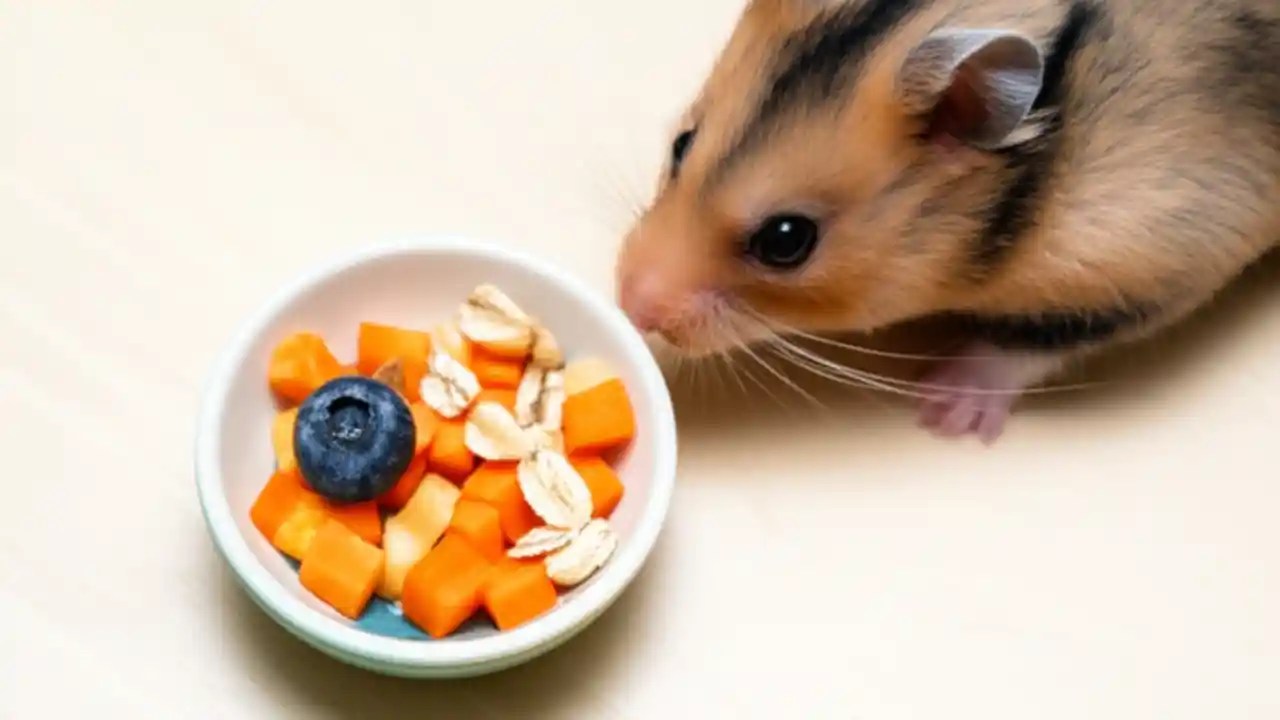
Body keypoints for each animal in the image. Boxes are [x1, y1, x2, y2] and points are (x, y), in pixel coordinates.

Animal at [615, 0, 1280, 442]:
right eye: (682, 145)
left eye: (787, 241)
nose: (628, 302)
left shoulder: (1154, 260)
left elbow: (1037, 338)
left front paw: (941, 409)